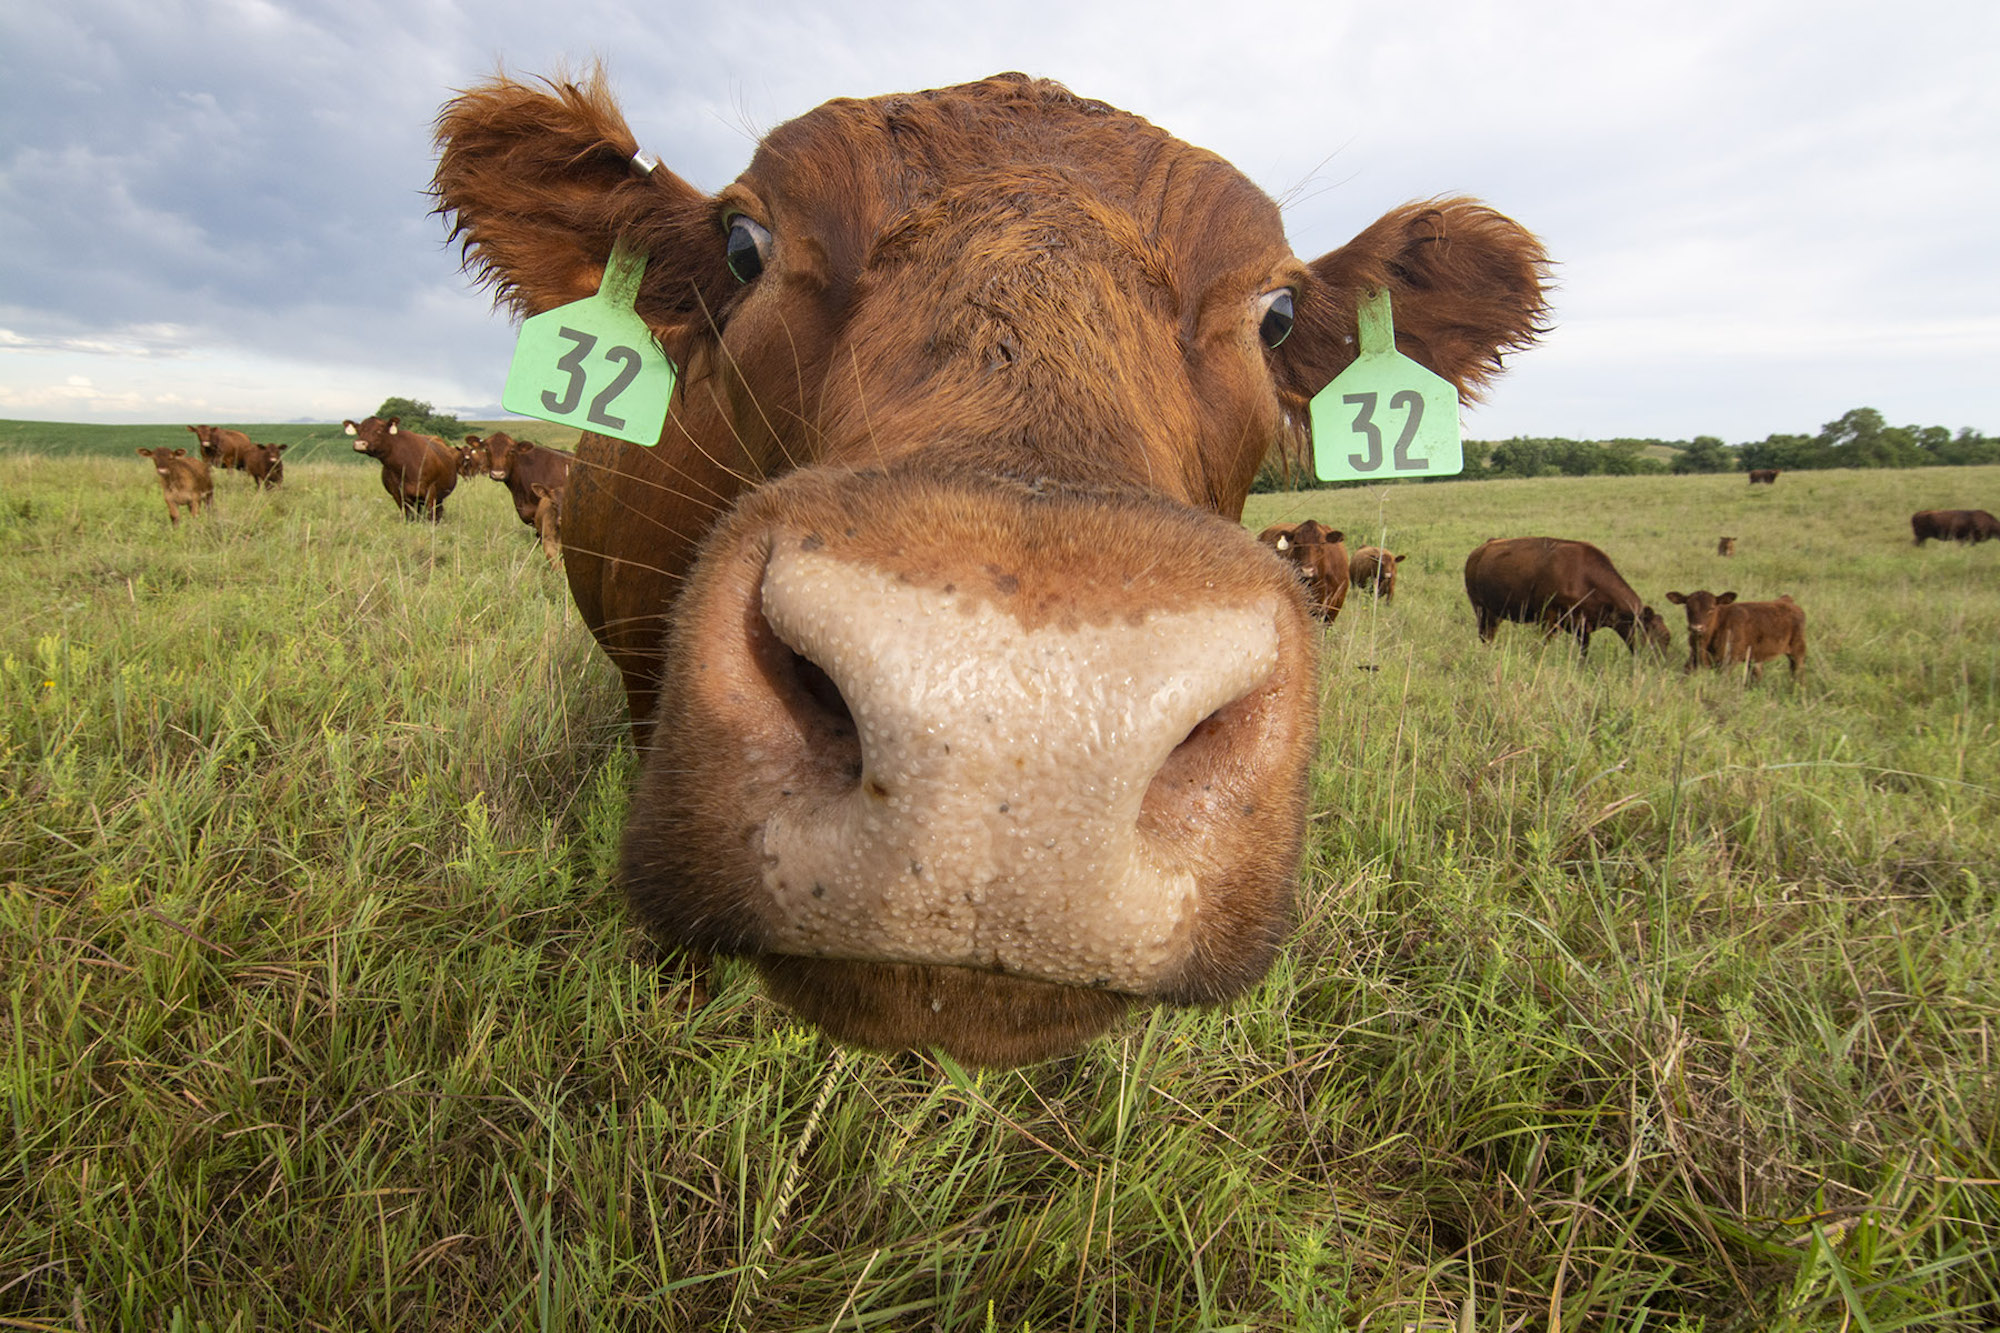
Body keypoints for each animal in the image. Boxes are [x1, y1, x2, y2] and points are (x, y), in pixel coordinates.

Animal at [1463, 536, 1671, 658]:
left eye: (1668, 637)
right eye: (1657, 636)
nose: (1660, 665)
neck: (1584, 577)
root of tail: (1483, 548)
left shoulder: (1583, 627)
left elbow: (1583, 654)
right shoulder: (1548, 618)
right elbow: (1542, 646)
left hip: (1494, 613)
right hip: (1480, 609)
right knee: (1485, 636)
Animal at [1665, 590, 1806, 680]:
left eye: (1711, 609)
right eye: (1687, 607)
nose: (1696, 628)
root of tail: (1787, 601)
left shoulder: (1729, 661)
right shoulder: (1693, 656)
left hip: (1798, 650)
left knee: (1798, 673)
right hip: (1755, 655)